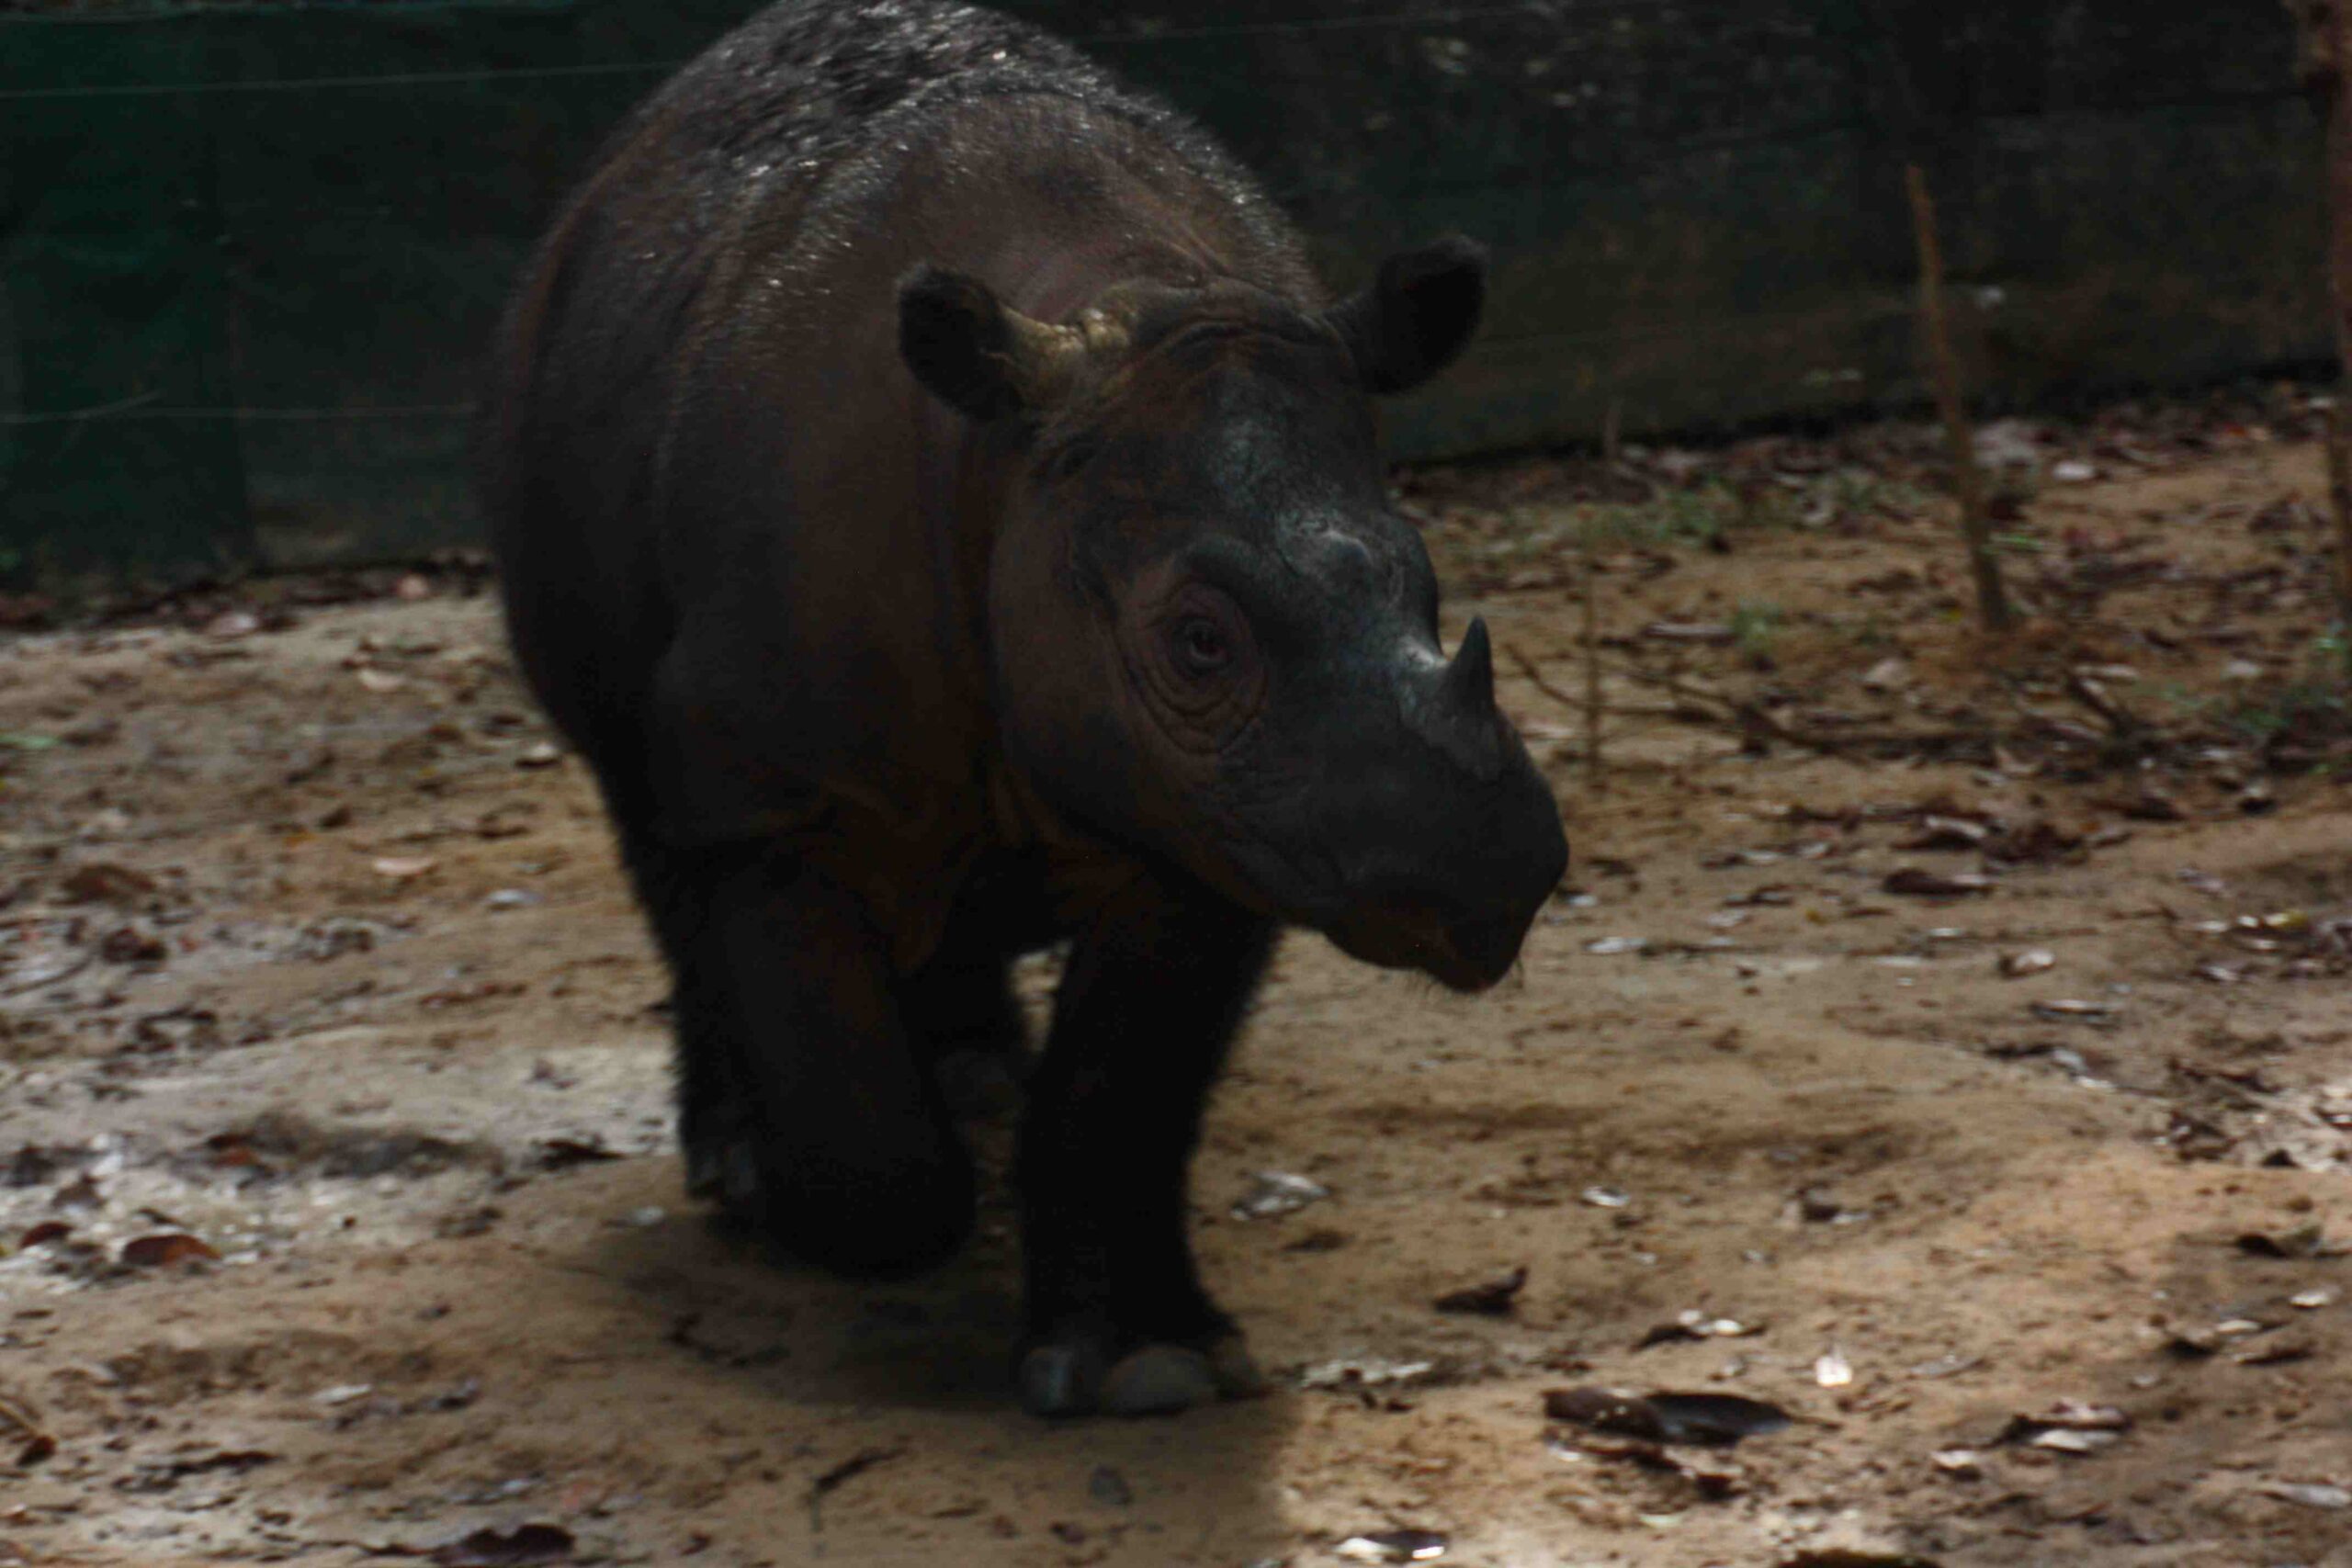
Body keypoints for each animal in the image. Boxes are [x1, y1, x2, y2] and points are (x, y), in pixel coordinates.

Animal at [481, 0, 1567, 1417]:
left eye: (1422, 583)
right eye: (1199, 643)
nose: (1493, 871)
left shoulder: (1223, 819)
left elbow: (1117, 1097)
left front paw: (1147, 1367)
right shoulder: (767, 790)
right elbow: (868, 1140)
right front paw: (792, 1193)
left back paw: (975, 1069)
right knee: (646, 818)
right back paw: (747, 1154)